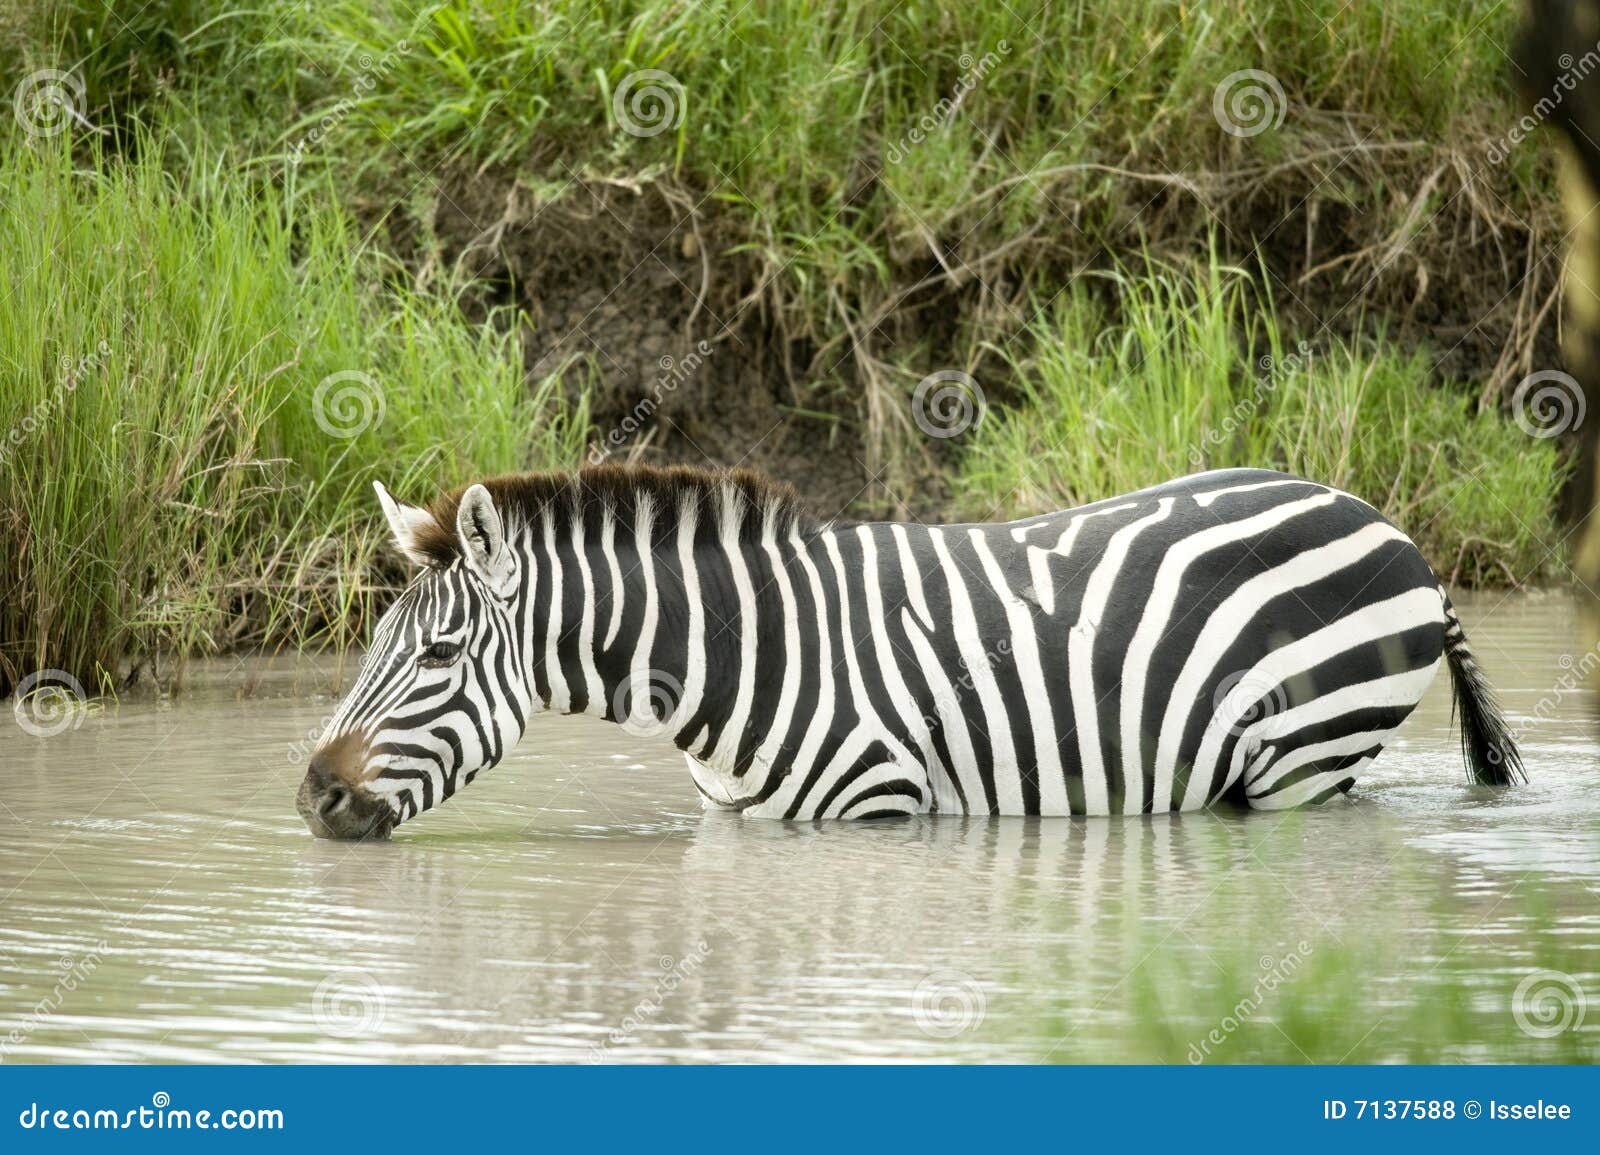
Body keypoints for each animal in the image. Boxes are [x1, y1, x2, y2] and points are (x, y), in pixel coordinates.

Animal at [296, 464, 1523, 838]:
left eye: (438, 656)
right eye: (373, 644)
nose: (313, 800)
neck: (744, 653)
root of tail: (1388, 522)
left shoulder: (876, 810)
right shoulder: (737, 824)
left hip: (1304, 759)